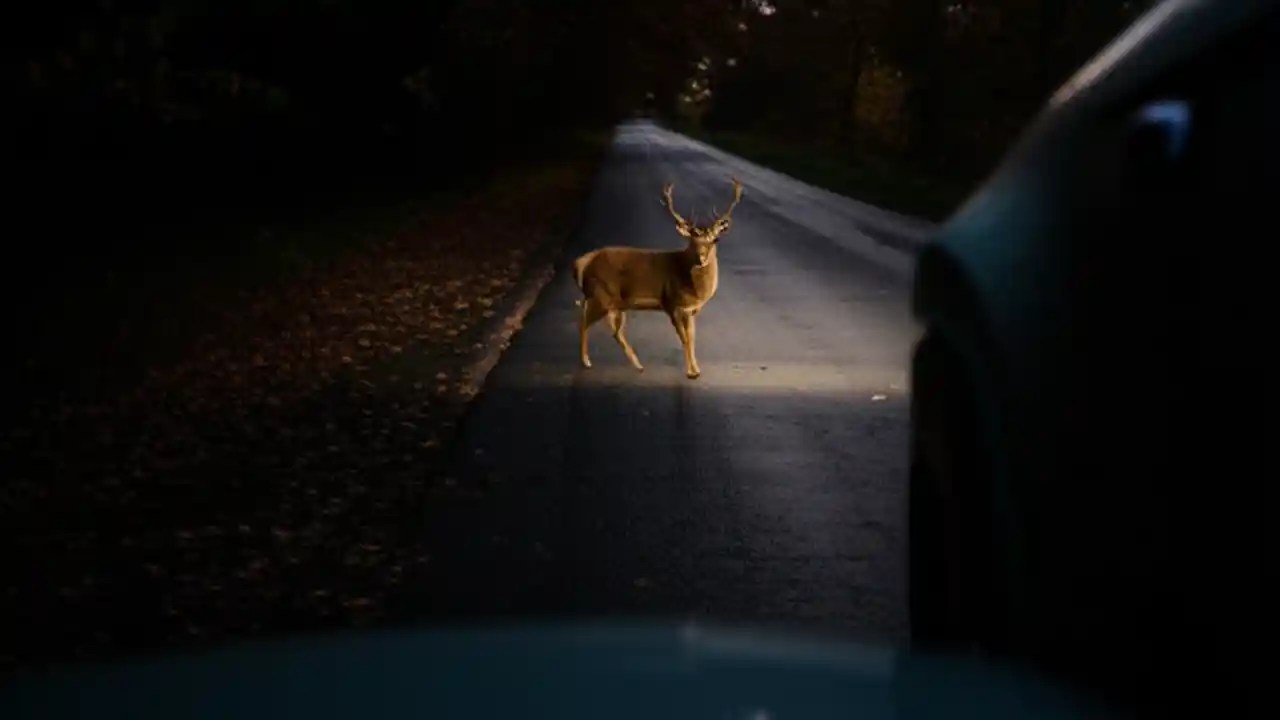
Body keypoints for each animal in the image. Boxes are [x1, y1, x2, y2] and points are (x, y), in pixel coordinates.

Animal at [571, 177, 744, 379]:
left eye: (715, 240)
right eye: (692, 241)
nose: (701, 258)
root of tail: (583, 262)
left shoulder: (690, 310)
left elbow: (692, 338)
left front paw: (697, 369)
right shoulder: (671, 304)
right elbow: (684, 339)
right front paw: (691, 373)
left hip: (615, 302)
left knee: (614, 331)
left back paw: (638, 366)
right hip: (601, 294)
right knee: (584, 322)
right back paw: (586, 361)